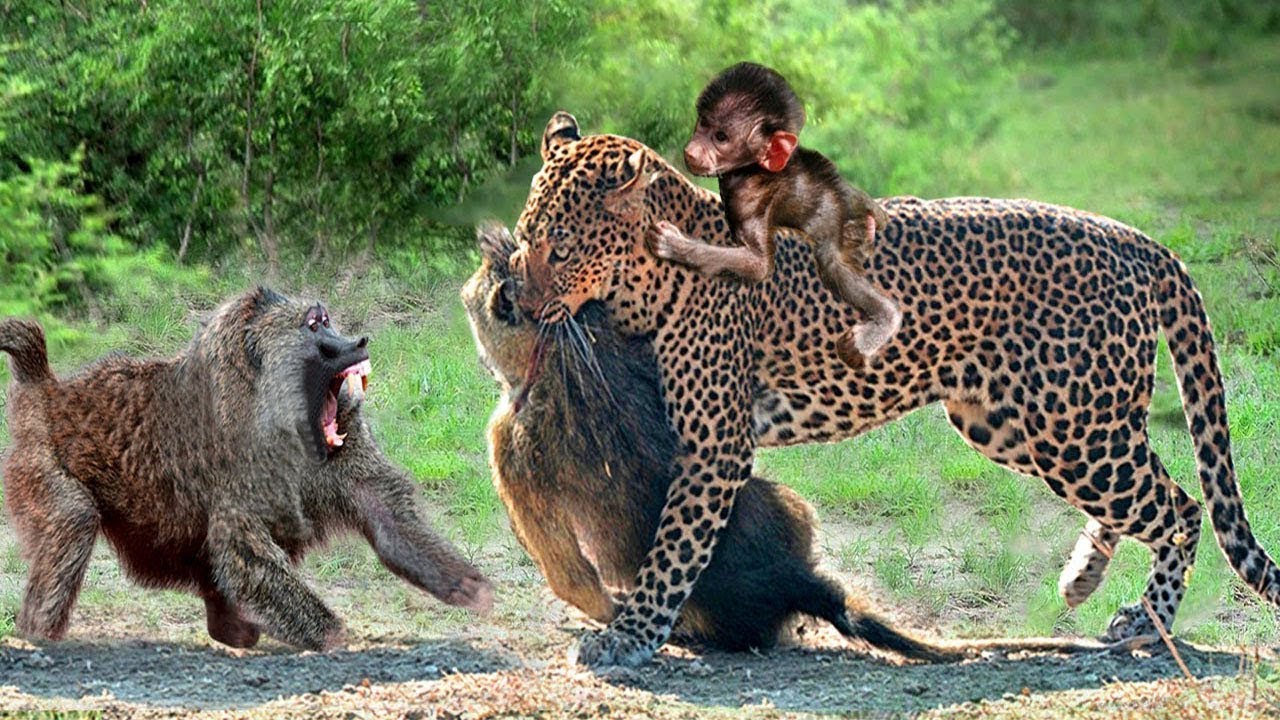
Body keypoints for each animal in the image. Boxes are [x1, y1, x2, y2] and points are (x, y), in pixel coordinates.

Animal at [0, 288, 493, 651]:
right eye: (315, 325)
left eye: (327, 320)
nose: (358, 342)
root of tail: (48, 391)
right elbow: (244, 552)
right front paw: (337, 637)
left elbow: (390, 525)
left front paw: (470, 587)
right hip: (40, 466)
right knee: (74, 523)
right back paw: (35, 636)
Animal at [505, 111, 1280, 669]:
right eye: (522, 237)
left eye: (560, 246)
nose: (513, 300)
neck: (643, 279)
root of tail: (1135, 239)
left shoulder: (715, 444)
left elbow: (675, 546)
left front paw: (631, 635)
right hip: (1016, 422)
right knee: (1145, 493)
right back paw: (1083, 578)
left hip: (1074, 427)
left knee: (1180, 506)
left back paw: (1144, 620)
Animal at [648, 61, 902, 368]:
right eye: (703, 124)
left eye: (721, 137)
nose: (692, 149)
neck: (752, 168)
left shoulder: (750, 199)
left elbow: (759, 265)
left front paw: (673, 244)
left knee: (832, 263)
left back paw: (886, 317)